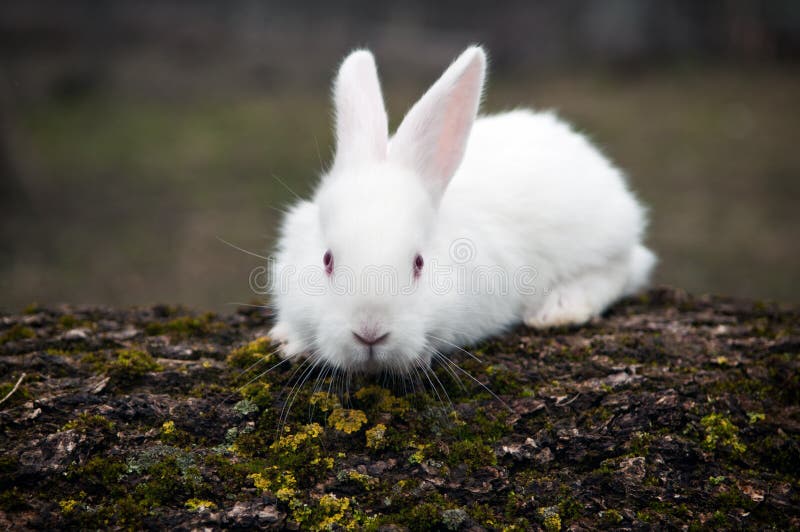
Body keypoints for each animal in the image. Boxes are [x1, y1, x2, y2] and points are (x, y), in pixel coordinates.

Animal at [268, 45, 655, 374]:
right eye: (327, 260)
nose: (370, 332)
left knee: (621, 270)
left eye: (419, 263)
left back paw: (558, 309)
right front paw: (290, 341)